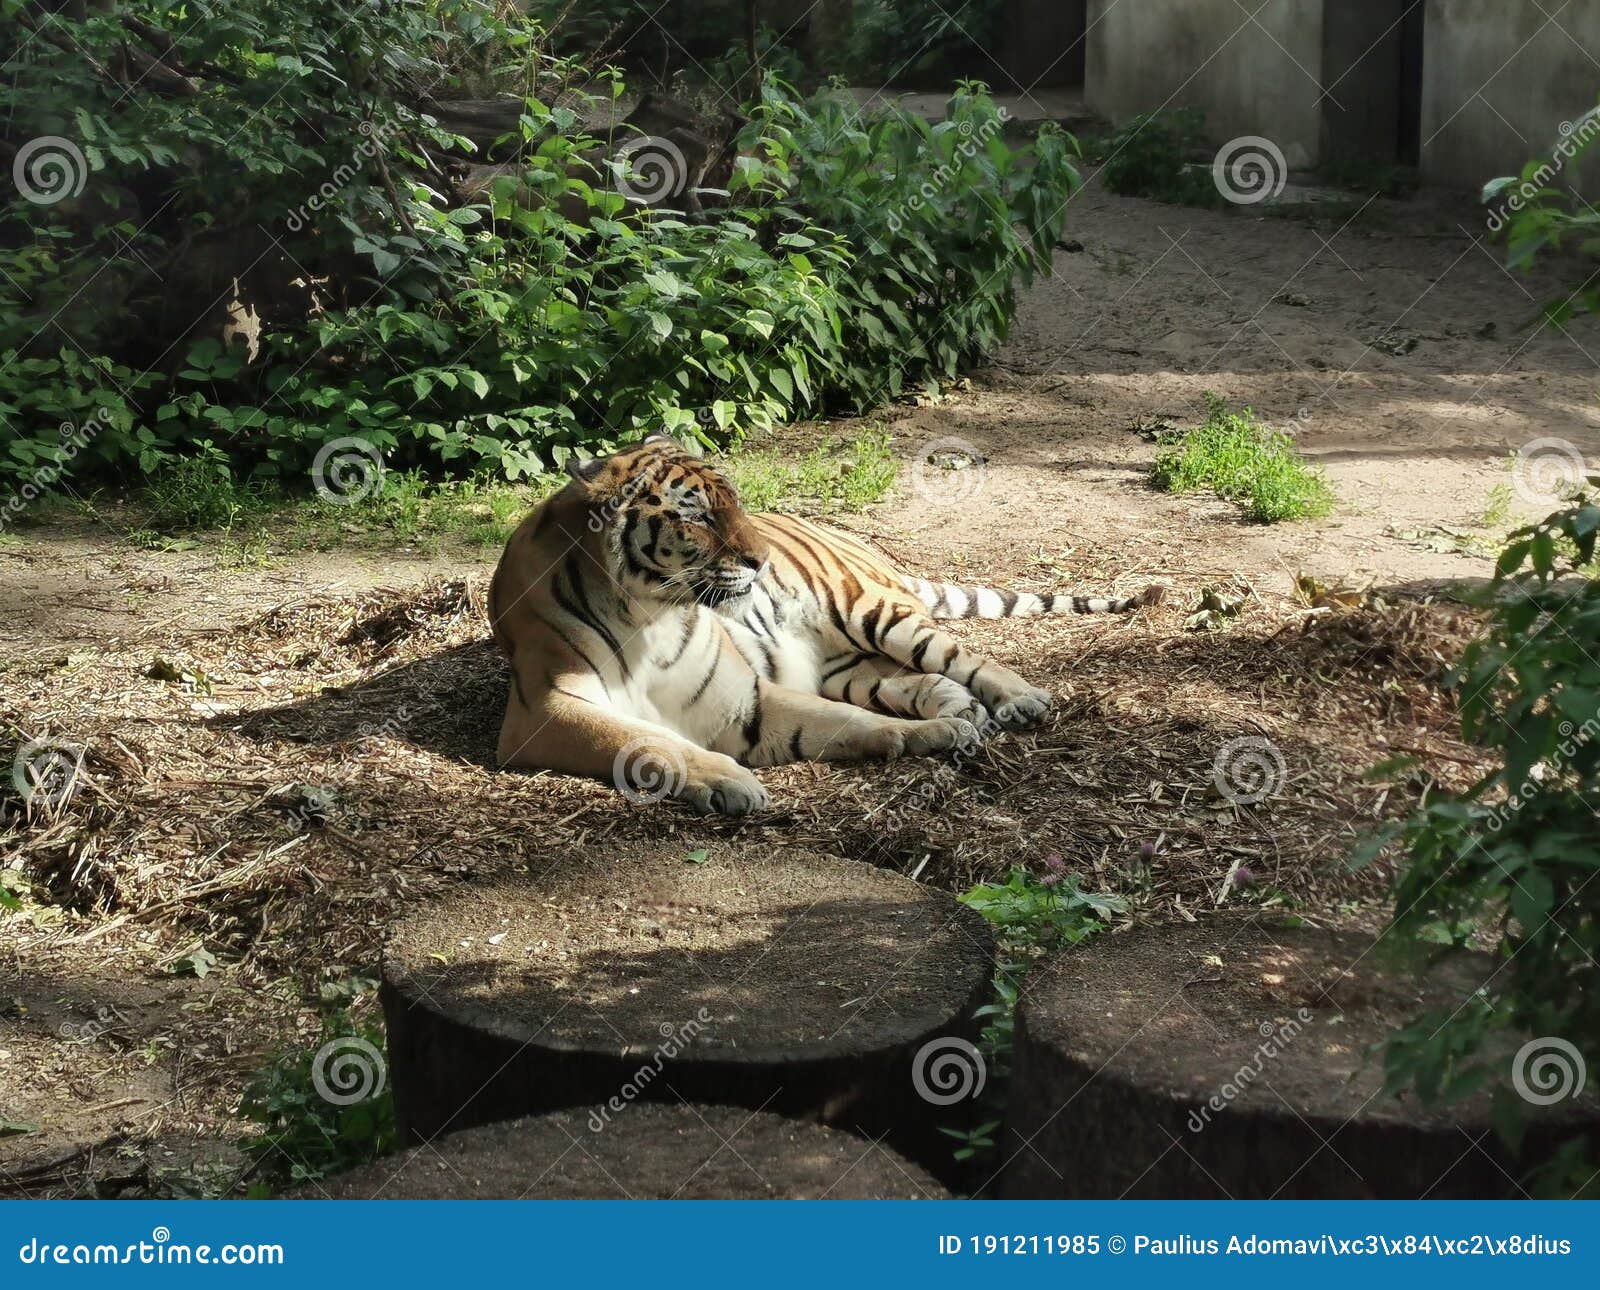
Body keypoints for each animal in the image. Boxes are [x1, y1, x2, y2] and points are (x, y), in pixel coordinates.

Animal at [488, 435, 1161, 816]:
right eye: (697, 516)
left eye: (734, 502)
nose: (760, 562)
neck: (650, 614)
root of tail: (863, 546)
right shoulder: (546, 711)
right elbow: (651, 740)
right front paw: (729, 781)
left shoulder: (741, 698)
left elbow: (843, 723)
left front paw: (931, 737)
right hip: (850, 664)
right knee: (917, 679)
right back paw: (961, 709)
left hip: (871, 612)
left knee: (962, 656)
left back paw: (1019, 700)